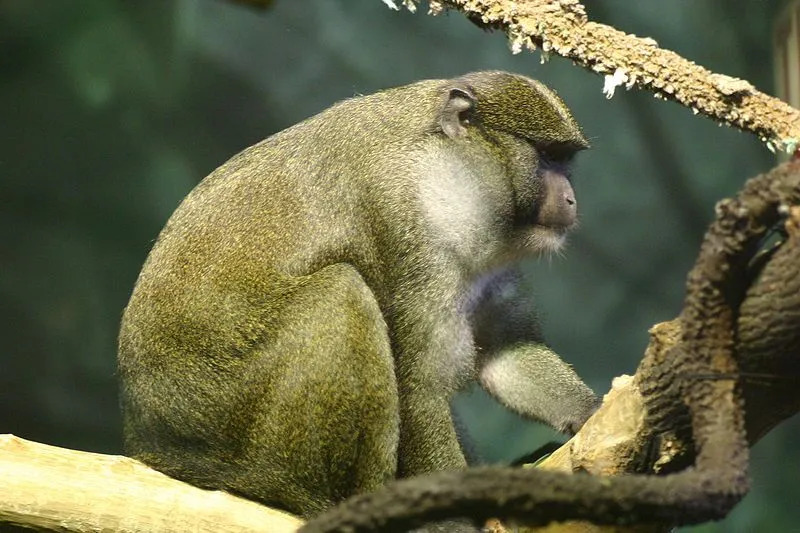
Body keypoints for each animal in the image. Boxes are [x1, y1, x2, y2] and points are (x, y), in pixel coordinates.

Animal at [115, 70, 596, 524]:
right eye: (547, 158)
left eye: (566, 161)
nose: (572, 199)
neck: (446, 170)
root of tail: (154, 444)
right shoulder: (402, 221)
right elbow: (419, 388)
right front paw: (454, 520)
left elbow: (506, 352)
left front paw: (594, 413)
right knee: (340, 293)